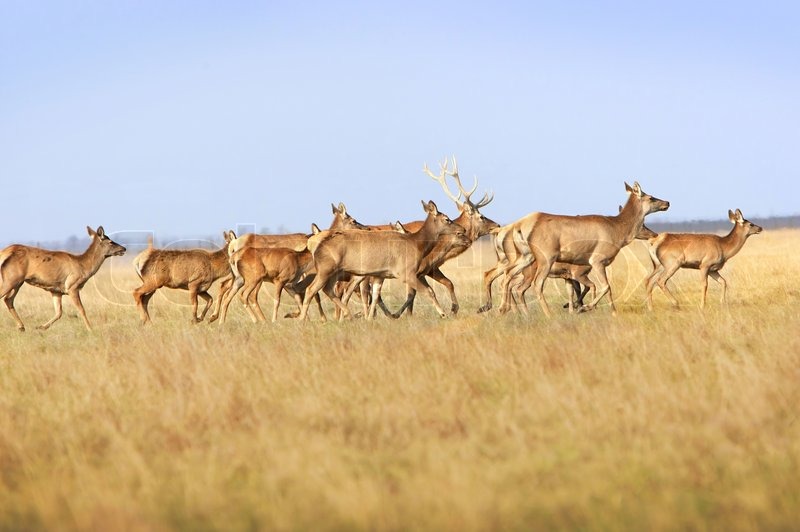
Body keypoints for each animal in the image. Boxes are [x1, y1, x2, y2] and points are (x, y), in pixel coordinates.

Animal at [298, 200, 467, 321]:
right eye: (447, 219)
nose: (463, 230)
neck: (417, 245)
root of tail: (315, 247)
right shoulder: (406, 272)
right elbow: (429, 291)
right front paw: (443, 313)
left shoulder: (380, 275)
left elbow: (375, 297)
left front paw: (370, 319)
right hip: (325, 270)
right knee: (311, 290)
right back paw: (302, 320)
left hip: (336, 273)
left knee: (329, 290)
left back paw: (348, 315)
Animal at [496, 181, 669, 317]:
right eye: (650, 197)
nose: (667, 203)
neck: (617, 228)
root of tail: (520, 225)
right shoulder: (597, 261)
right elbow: (605, 286)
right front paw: (585, 308)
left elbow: (606, 289)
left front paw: (613, 313)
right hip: (545, 259)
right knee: (536, 284)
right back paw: (548, 315)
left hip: (526, 257)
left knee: (508, 276)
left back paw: (504, 309)